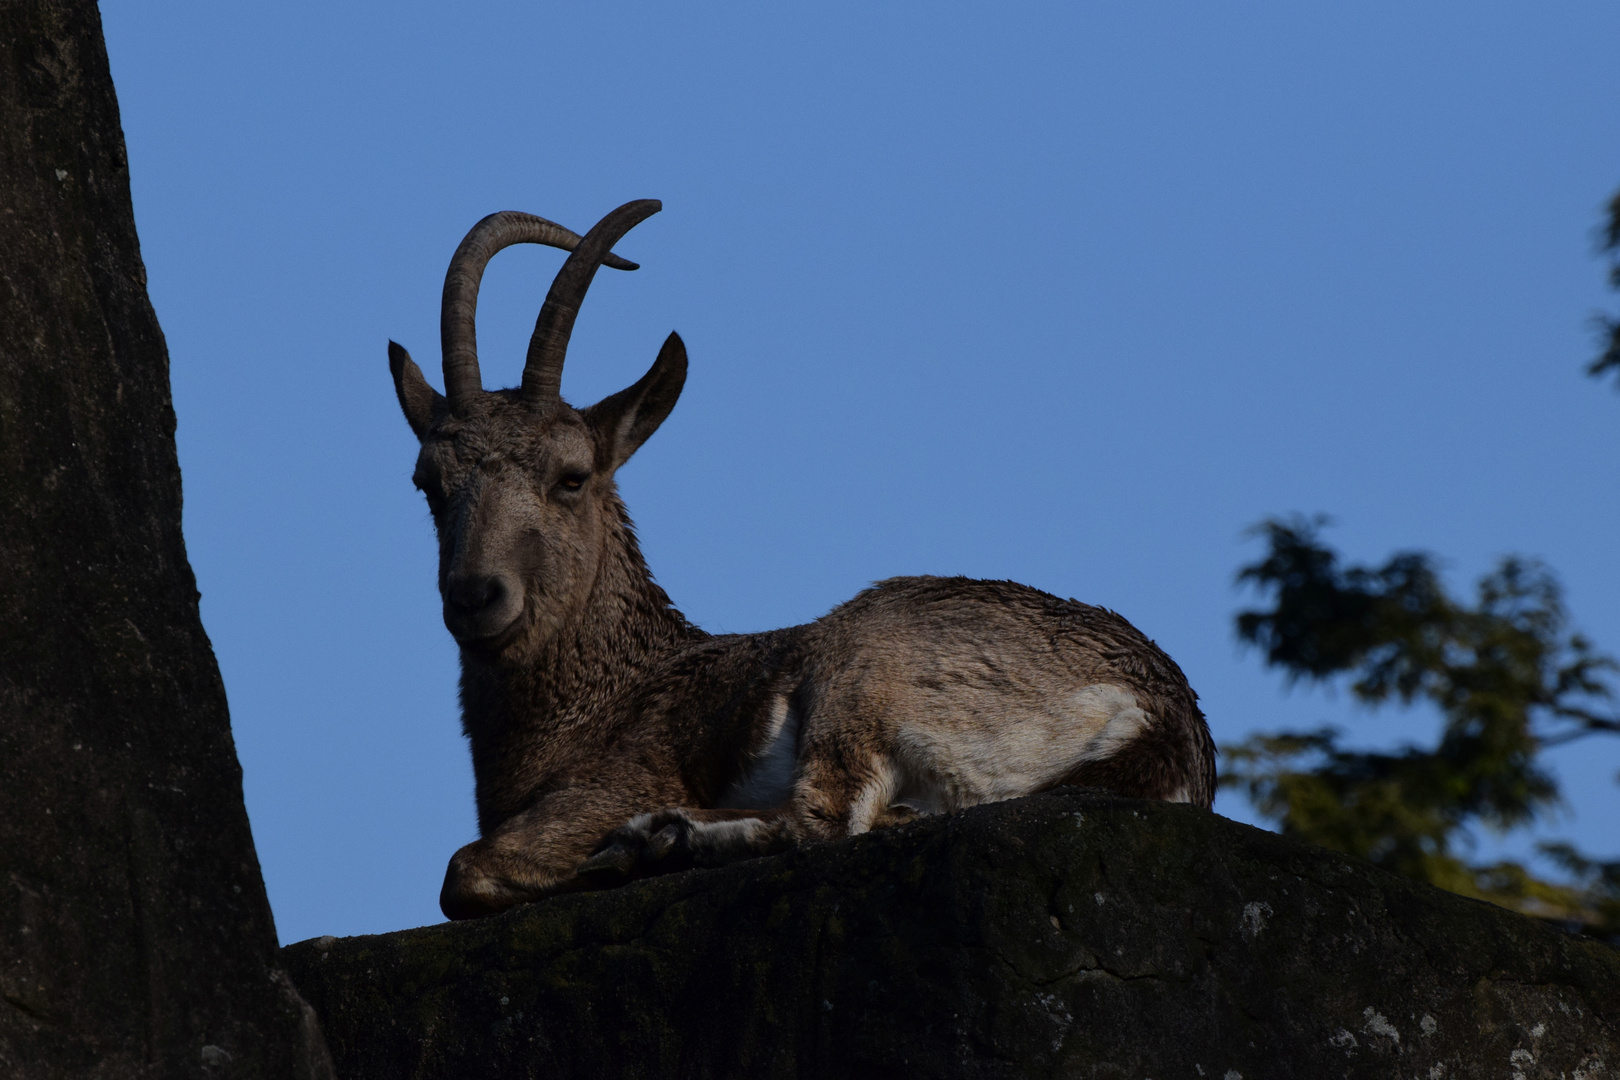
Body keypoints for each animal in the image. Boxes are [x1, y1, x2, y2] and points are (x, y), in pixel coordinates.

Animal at [387, 200, 1216, 920]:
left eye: (571, 476)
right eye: (429, 482)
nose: (476, 596)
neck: (602, 696)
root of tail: (1165, 716)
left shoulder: (618, 780)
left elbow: (464, 871)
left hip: (865, 673)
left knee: (824, 821)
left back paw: (656, 842)